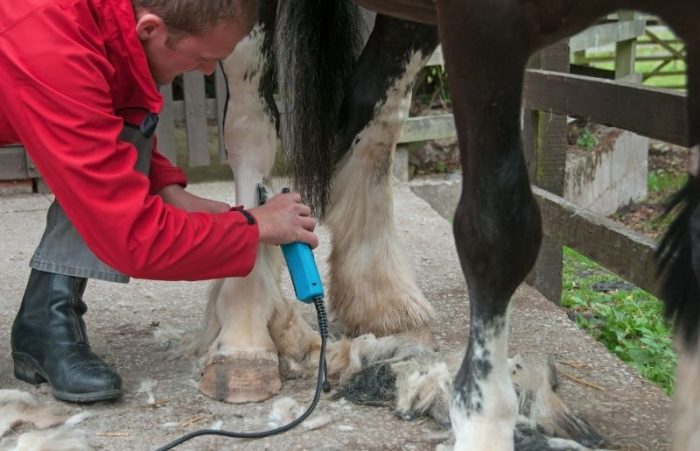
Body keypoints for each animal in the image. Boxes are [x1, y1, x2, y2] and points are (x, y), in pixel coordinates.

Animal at [192, 1, 700, 449]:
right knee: (252, 120)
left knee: (373, 107)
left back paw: (380, 296)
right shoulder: (484, 22)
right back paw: (243, 335)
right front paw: (485, 424)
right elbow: (499, 229)